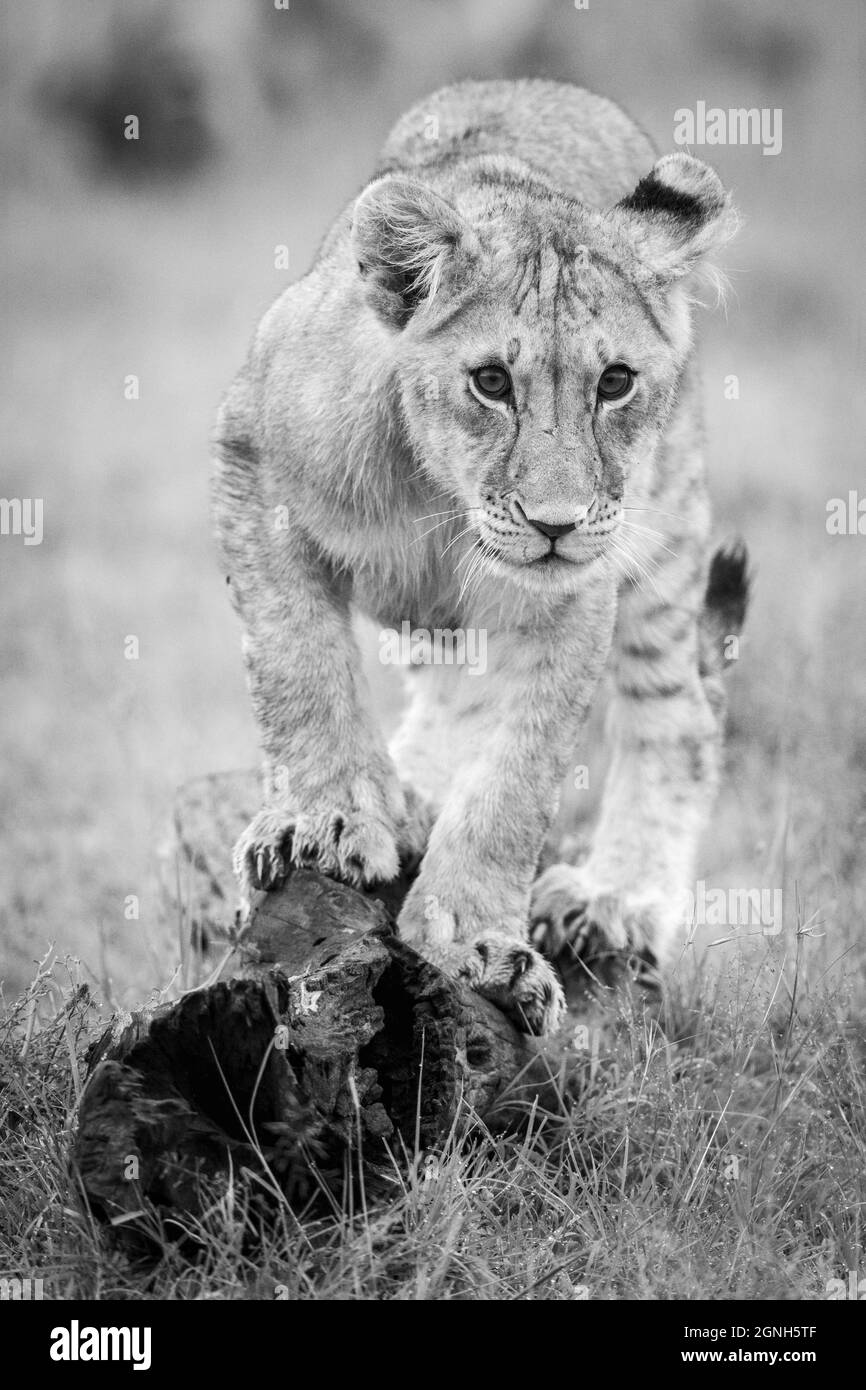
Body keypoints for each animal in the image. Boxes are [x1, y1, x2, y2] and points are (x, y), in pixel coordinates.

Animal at [212, 78, 742, 1035]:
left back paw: (615, 898)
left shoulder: (576, 597)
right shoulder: (252, 477)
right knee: (444, 696)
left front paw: (474, 942)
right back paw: (406, 802)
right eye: (491, 382)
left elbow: (514, 782)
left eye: (615, 382)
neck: (441, 499)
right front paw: (327, 823)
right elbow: (300, 671)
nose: (556, 524)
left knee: (679, 716)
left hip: (669, 533)